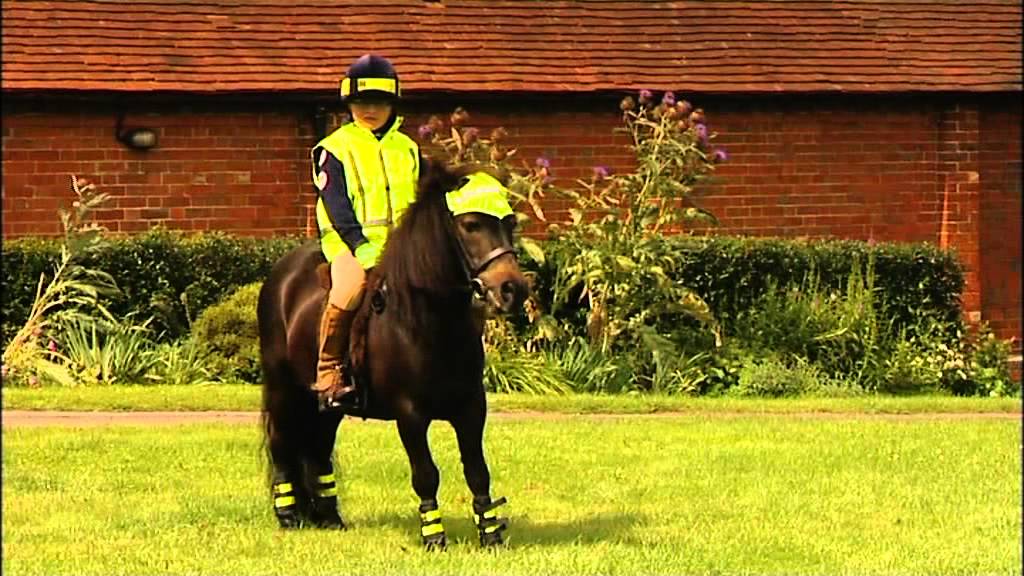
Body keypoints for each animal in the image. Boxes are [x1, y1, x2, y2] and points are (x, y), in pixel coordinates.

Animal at [257, 162, 529, 549]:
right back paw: (289, 516)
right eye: (471, 225)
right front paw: (434, 539)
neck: (425, 318)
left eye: (510, 223)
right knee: (280, 441)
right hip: (282, 387)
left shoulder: (471, 408)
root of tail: (282, 275)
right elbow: (426, 474)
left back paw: (330, 518)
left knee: (319, 449)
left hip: (327, 405)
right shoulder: (409, 414)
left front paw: (490, 536)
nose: (513, 290)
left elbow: (478, 472)